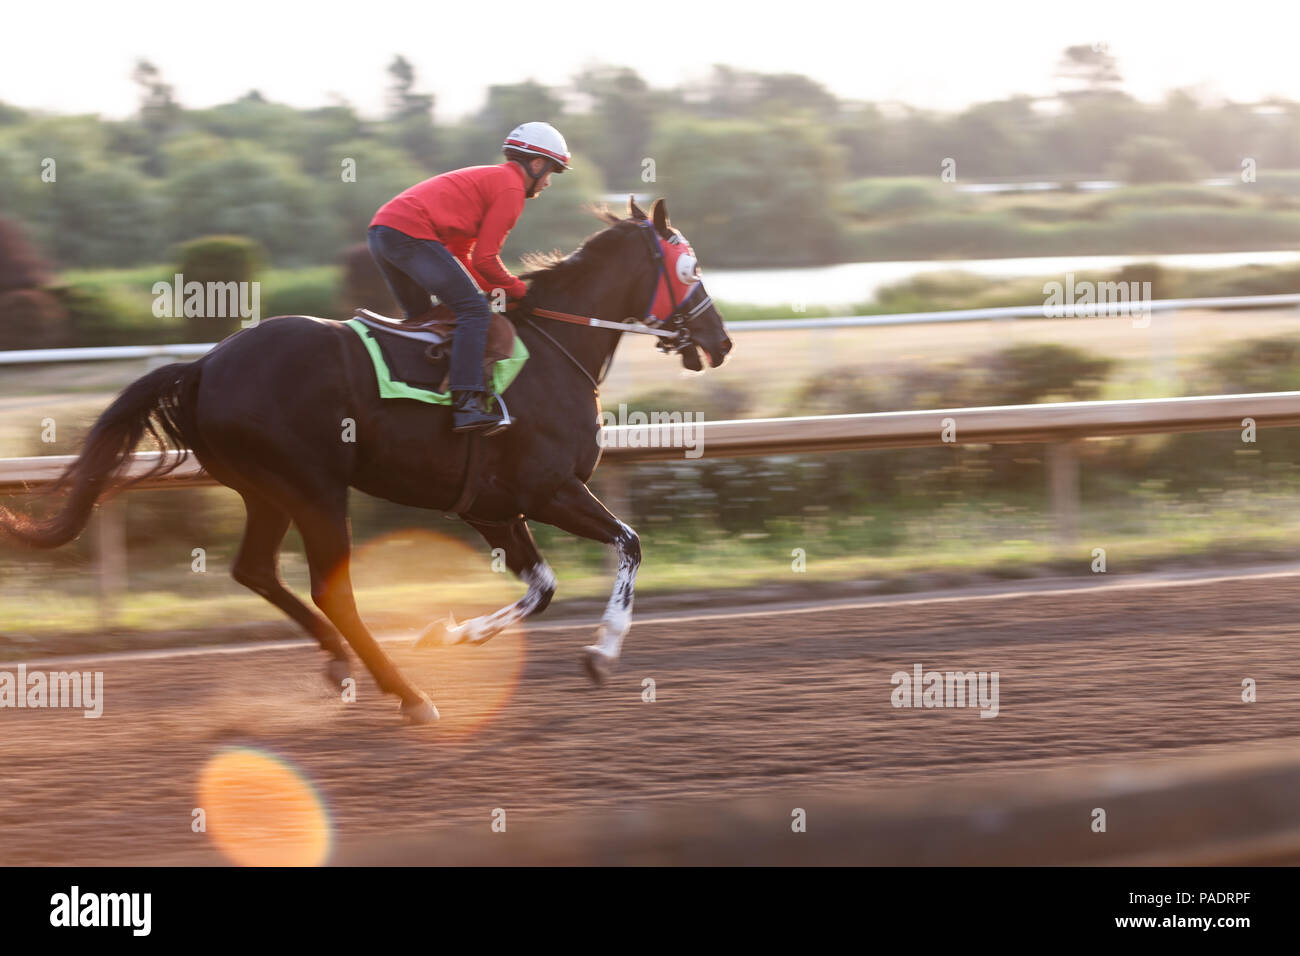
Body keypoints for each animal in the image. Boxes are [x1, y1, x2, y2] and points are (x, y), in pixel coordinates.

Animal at [0, 198, 733, 723]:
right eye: (690, 268)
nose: (720, 339)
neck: (556, 348)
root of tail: (204, 365)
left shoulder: (492, 507)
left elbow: (542, 587)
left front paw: (448, 634)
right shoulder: (549, 489)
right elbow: (629, 544)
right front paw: (601, 655)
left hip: (267, 490)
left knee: (256, 570)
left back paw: (341, 664)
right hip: (317, 489)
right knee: (332, 588)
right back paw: (406, 693)